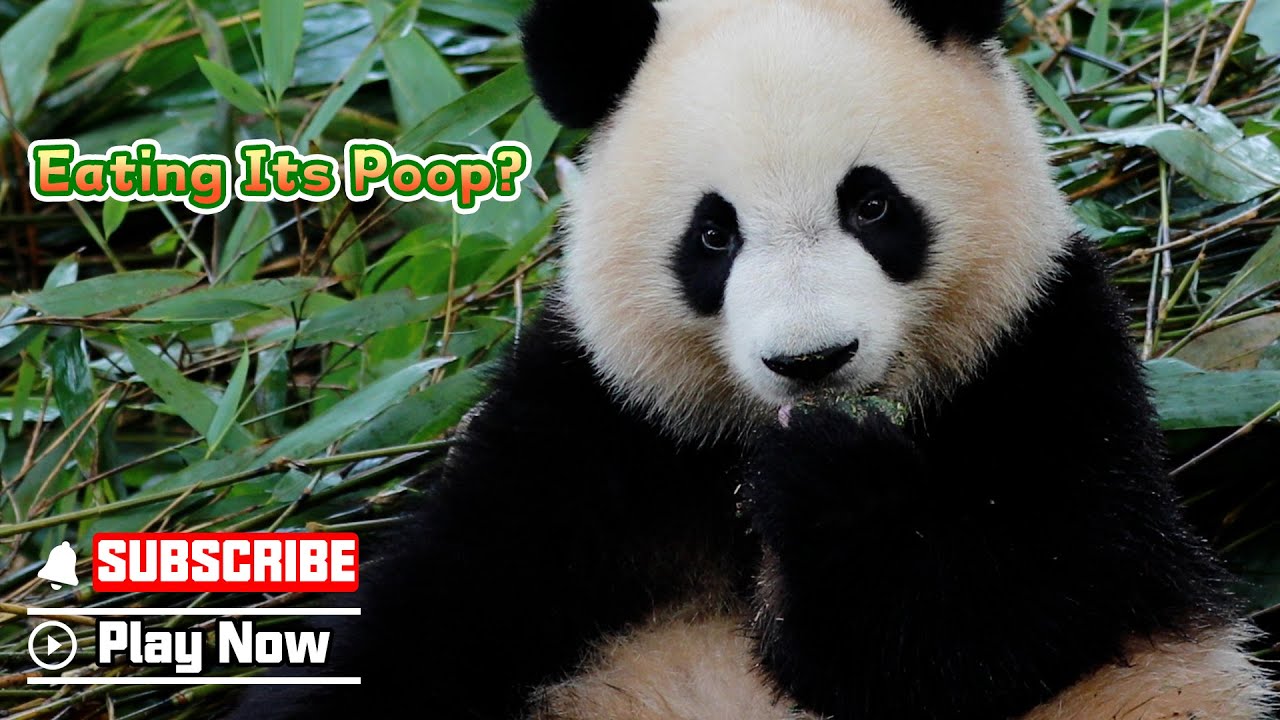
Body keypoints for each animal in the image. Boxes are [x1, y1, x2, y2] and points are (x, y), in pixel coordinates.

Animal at [229, 0, 1277, 718]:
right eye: (713, 234)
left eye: (872, 204)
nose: (813, 360)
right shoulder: (601, 419)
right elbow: (447, 600)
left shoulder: (1046, 357)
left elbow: (1018, 611)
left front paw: (826, 488)